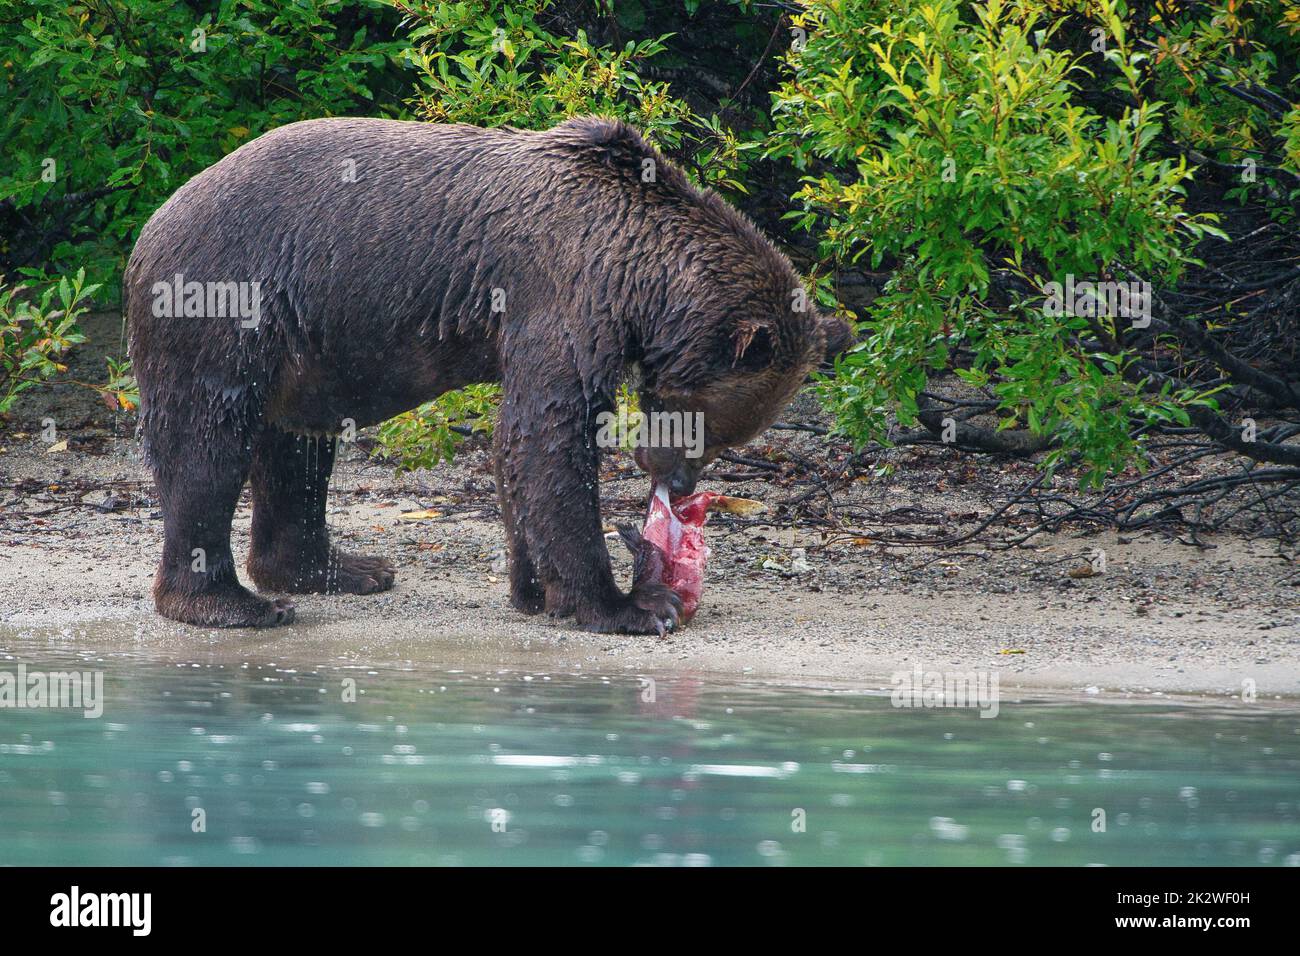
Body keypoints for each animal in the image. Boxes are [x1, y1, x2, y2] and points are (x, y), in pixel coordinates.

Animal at [125, 116, 851, 634]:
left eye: (731, 439)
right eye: (713, 426)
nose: (677, 481)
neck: (641, 272)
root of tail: (150, 225)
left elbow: (515, 448)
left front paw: (536, 589)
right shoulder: (565, 293)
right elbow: (548, 436)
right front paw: (629, 605)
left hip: (303, 344)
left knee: (296, 447)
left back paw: (342, 568)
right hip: (229, 304)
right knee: (209, 447)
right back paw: (233, 603)